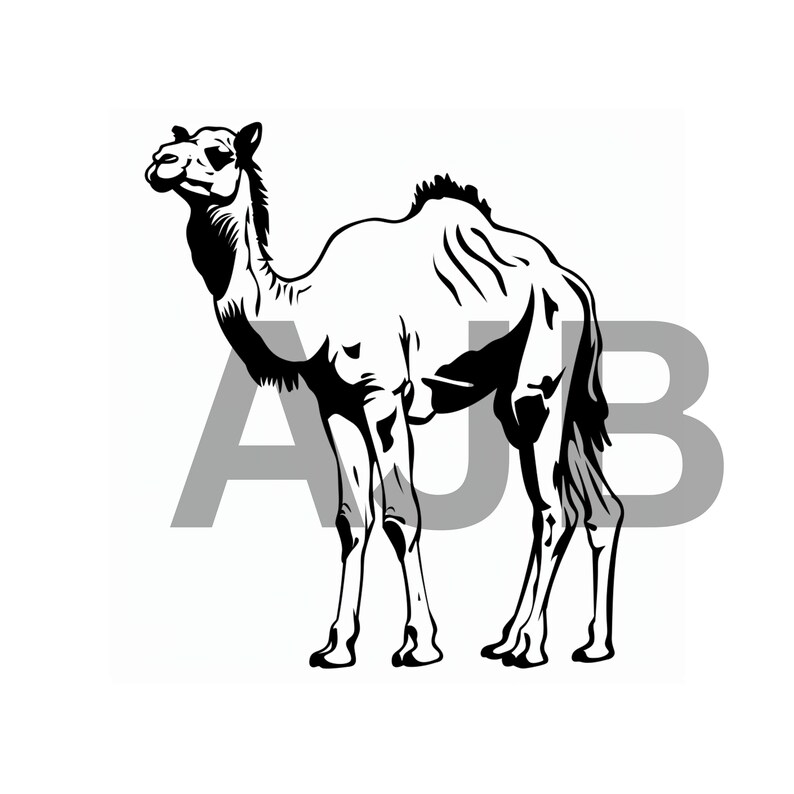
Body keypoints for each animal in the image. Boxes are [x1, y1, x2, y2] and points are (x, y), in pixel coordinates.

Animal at [145, 122, 624, 668]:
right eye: (178, 140)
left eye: (219, 152)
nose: (160, 161)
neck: (310, 312)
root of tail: (575, 287)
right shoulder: (336, 407)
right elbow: (351, 521)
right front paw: (336, 647)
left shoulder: (383, 396)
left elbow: (400, 516)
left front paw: (420, 644)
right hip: (557, 402)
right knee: (600, 508)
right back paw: (580, 644)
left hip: (536, 392)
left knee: (552, 510)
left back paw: (526, 645)